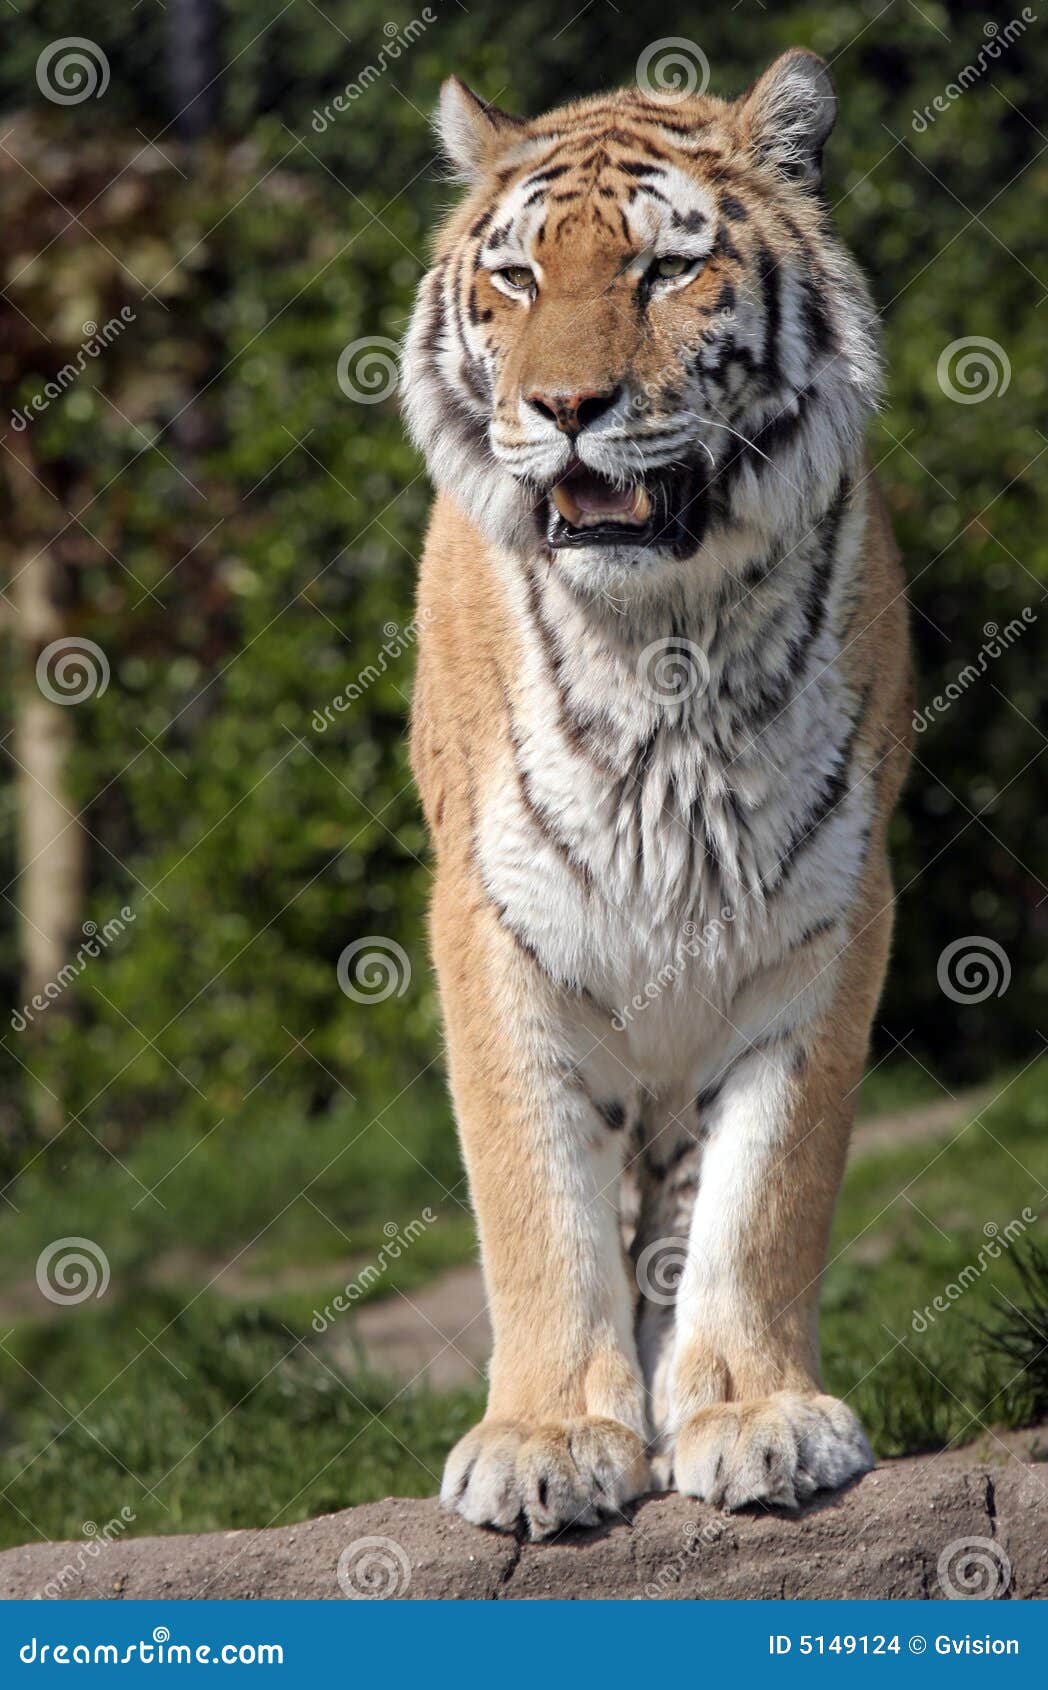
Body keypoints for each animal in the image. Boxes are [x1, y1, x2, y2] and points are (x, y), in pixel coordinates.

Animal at [402, 49, 912, 1539]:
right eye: (517, 279)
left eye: (664, 269)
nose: (568, 409)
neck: (662, 634)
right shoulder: (494, 918)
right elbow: (534, 1200)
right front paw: (549, 1439)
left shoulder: (827, 914)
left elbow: (764, 1198)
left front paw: (754, 1415)